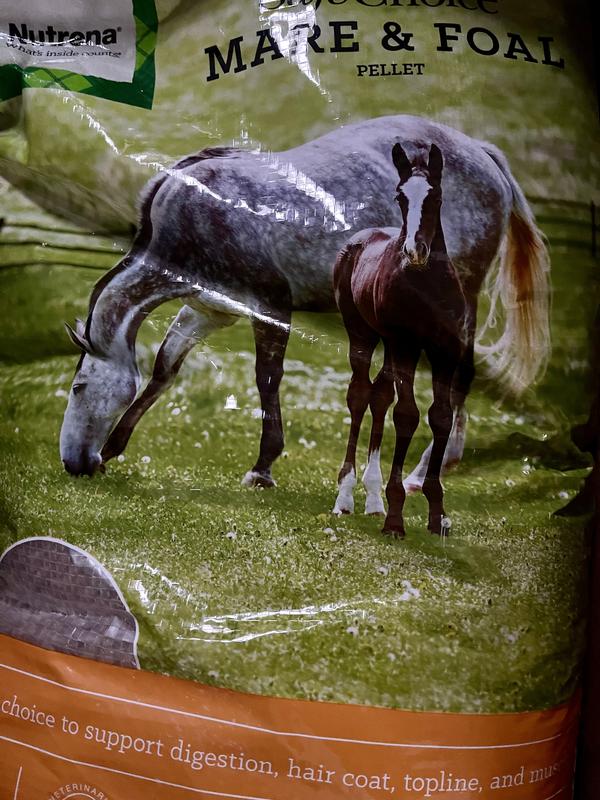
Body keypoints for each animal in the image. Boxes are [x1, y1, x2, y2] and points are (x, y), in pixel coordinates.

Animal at [59, 115, 550, 488]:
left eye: (77, 386)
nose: (73, 462)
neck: (197, 215)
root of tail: (482, 151)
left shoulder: (270, 306)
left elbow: (267, 379)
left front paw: (262, 468)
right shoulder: (210, 310)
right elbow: (164, 368)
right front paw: (116, 445)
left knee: (458, 378)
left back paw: (426, 471)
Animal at [333, 143, 467, 538]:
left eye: (436, 196)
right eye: (400, 196)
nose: (415, 250)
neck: (426, 285)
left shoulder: (446, 351)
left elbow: (440, 416)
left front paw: (437, 513)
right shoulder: (407, 346)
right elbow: (407, 415)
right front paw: (395, 517)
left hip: (388, 344)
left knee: (379, 395)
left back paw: (373, 499)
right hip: (363, 334)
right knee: (360, 394)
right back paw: (346, 496)